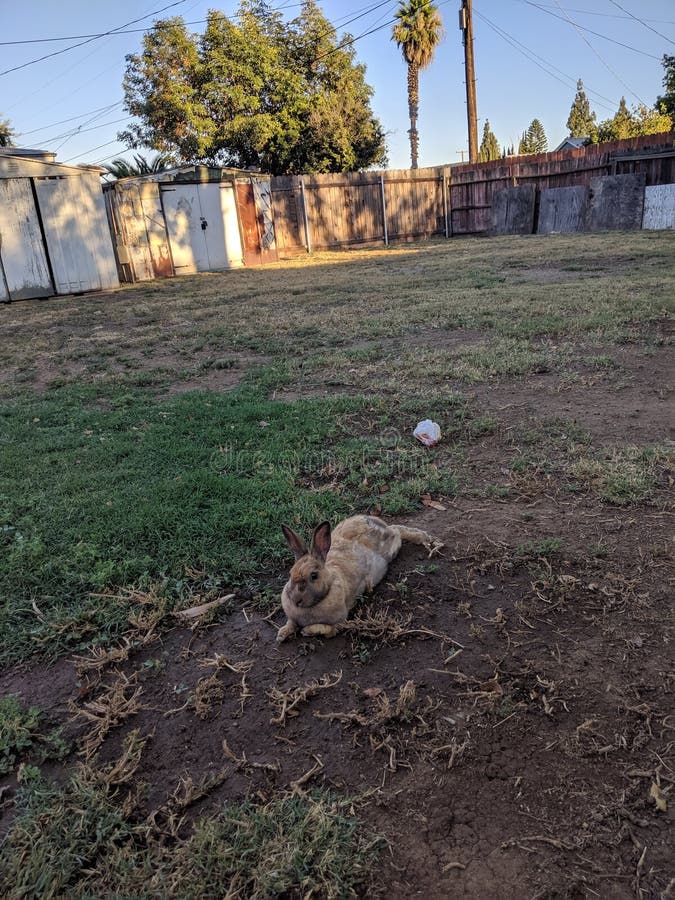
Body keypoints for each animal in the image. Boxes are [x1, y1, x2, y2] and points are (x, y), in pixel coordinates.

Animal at [276, 514, 442, 642]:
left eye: (314, 575)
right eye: (290, 574)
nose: (296, 600)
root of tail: (371, 519)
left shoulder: (340, 622)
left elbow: (327, 629)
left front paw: (306, 631)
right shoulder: (293, 618)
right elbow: (290, 624)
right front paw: (281, 635)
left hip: (391, 547)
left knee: (396, 531)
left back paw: (424, 538)